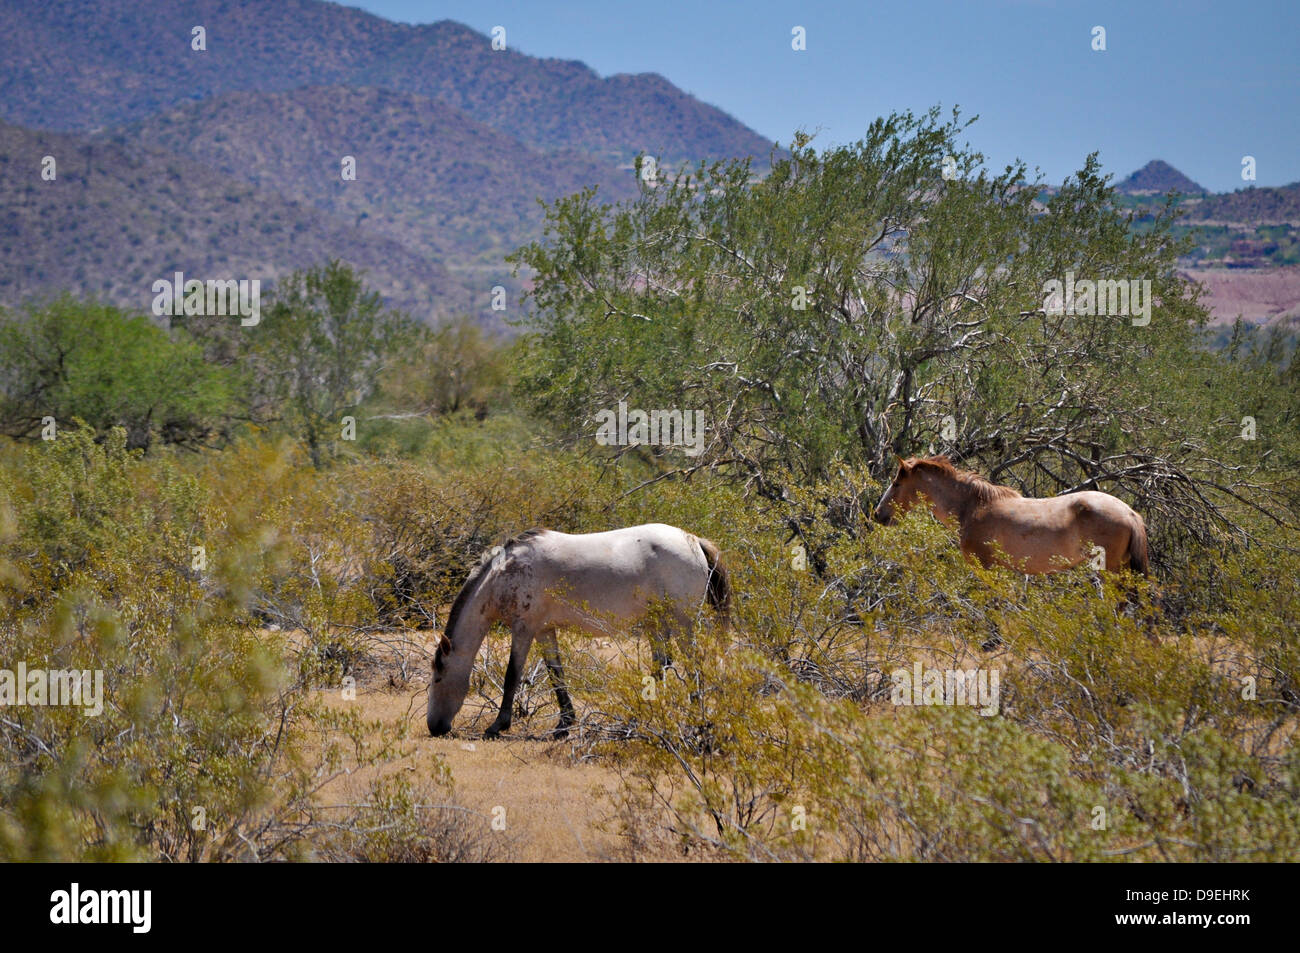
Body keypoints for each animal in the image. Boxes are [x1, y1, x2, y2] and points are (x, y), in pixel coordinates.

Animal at [426, 523, 730, 739]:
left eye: (438, 678)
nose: (434, 727)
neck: (505, 572)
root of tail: (693, 540)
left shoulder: (523, 629)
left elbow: (512, 674)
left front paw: (498, 725)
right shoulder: (544, 630)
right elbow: (556, 673)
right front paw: (564, 724)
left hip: (682, 622)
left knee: (692, 664)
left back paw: (698, 722)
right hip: (657, 623)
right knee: (662, 664)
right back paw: (636, 719)